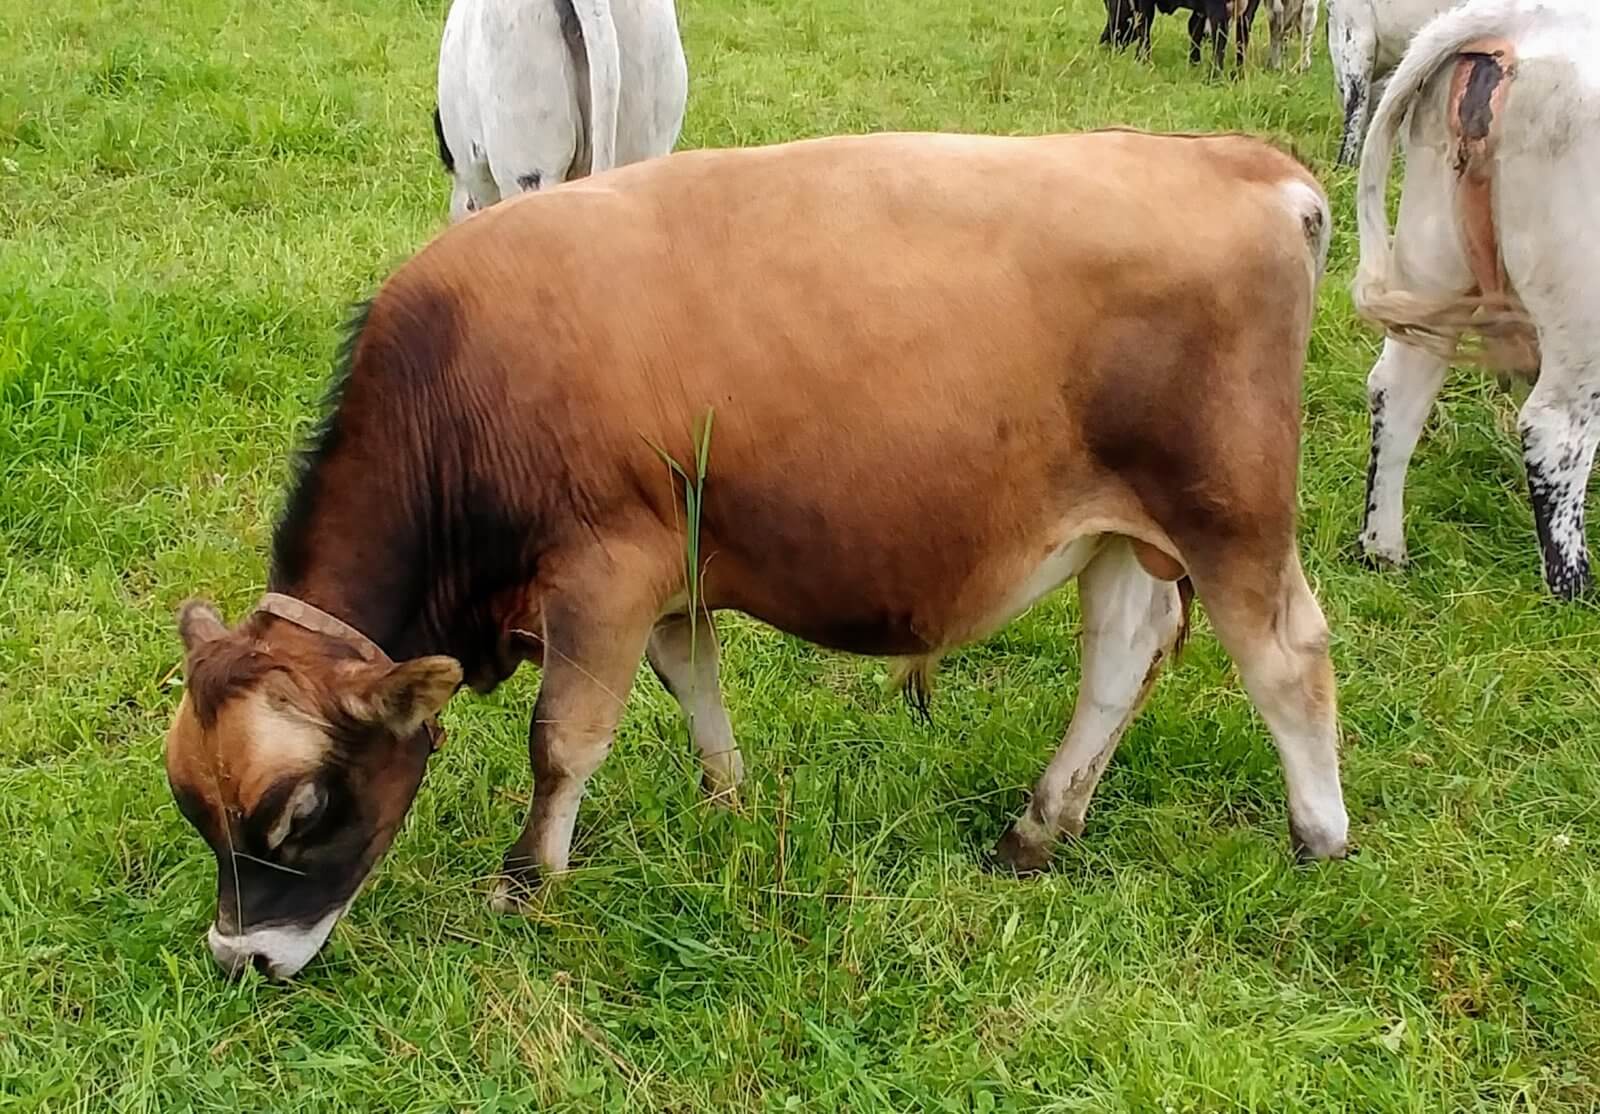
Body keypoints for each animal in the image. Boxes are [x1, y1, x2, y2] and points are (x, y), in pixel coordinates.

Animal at [164, 129, 1350, 980]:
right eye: (194, 812)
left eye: (302, 813)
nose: (237, 959)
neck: (460, 393)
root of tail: (1245, 162)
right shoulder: (673, 574)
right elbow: (697, 689)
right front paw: (725, 805)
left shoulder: (603, 576)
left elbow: (563, 741)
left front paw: (525, 882)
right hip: (1117, 530)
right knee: (1118, 656)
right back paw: (1036, 830)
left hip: (1230, 512)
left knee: (1287, 656)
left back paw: (1318, 838)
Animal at [1352, 0, 1598, 599]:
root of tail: (1523, 19)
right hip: (1583, 308)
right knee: (1555, 428)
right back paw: (1574, 589)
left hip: (1431, 263)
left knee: (1396, 390)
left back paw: (1383, 550)